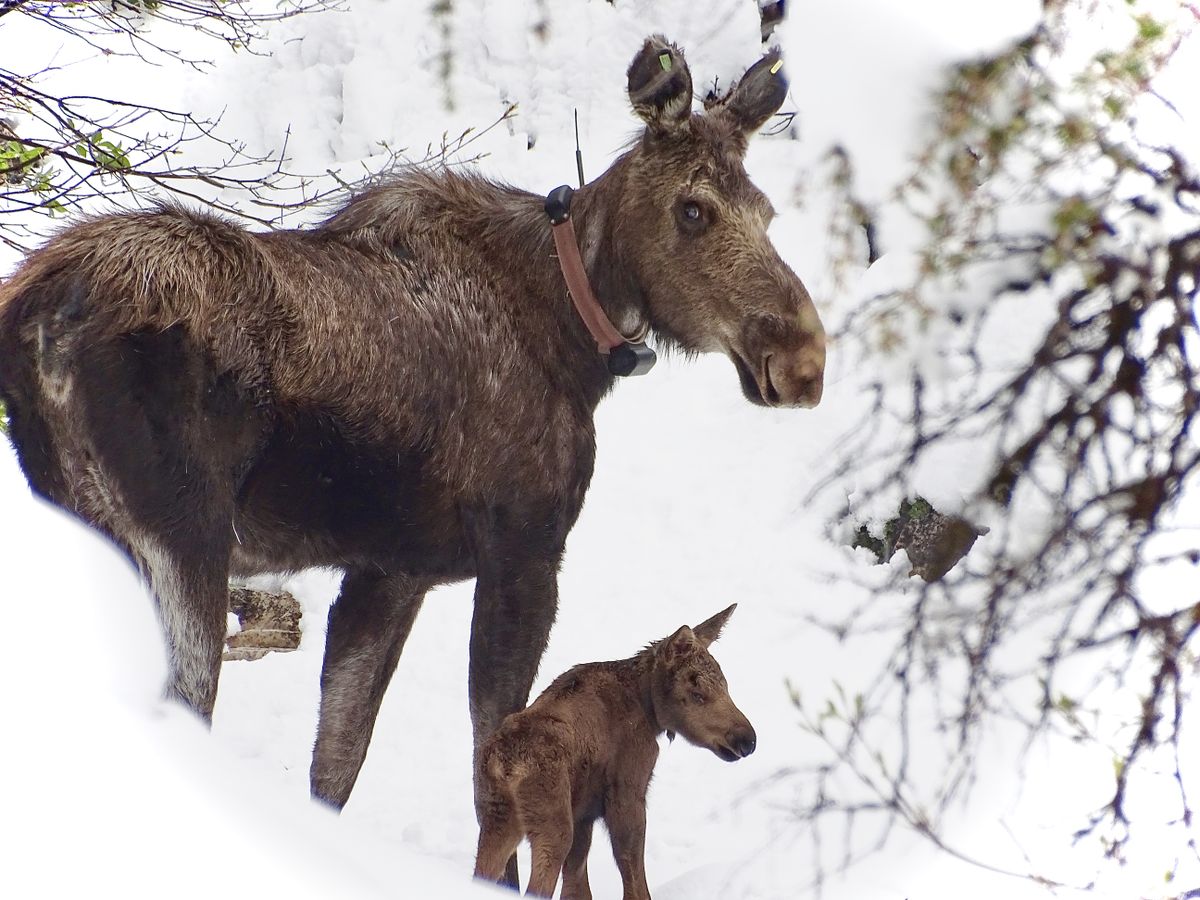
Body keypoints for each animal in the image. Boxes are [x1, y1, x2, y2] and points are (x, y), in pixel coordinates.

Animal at [474, 604, 754, 899]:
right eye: (697, 693)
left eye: (725, 685)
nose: (747, 739)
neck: (648, 709)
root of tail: (505, 767)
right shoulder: (628, 790)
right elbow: (633, 877)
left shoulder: (583, 813)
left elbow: (577, 887)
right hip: (552, 824)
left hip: (496, 816)